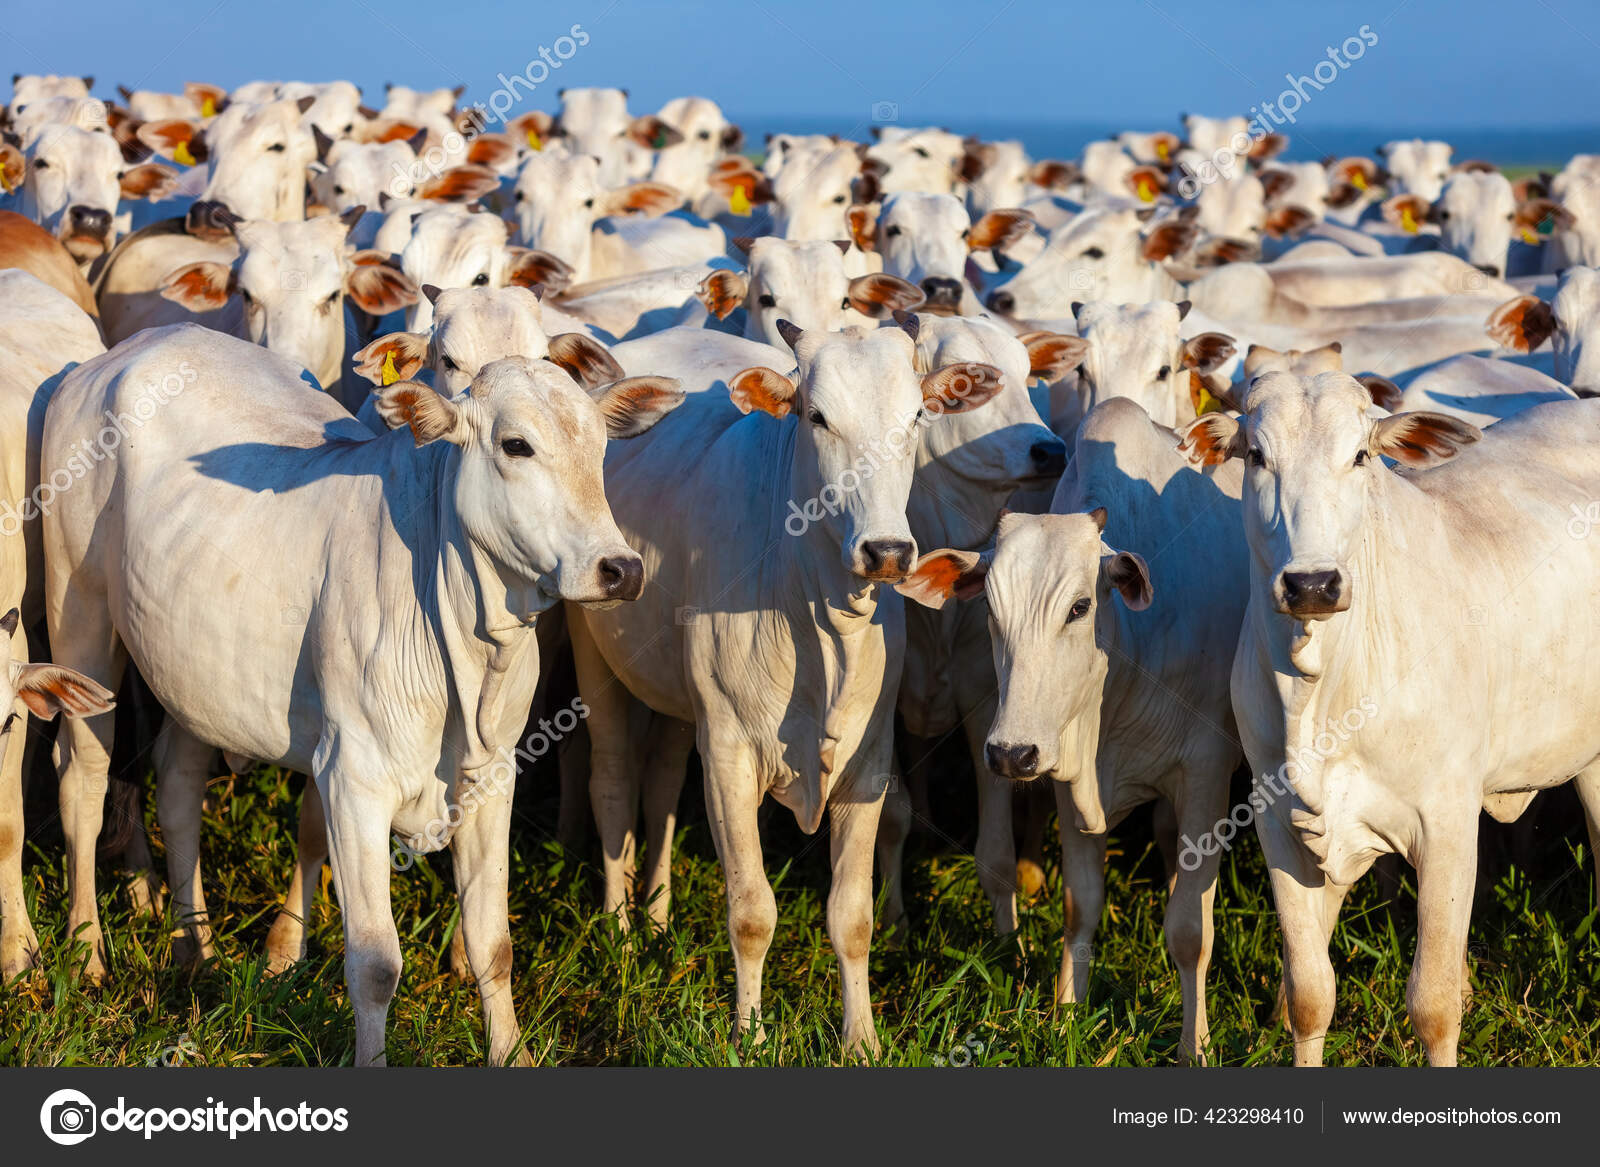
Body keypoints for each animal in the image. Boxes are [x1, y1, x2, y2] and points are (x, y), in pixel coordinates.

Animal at [42, 324, 680, 1064]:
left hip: (191, 669)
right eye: (516, 444)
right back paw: (87, 953)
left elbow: (492, 944)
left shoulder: (492, 776)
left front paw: (510, 1053)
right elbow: (376, 963)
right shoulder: (354, 777)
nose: (621, 568)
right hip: (80, 618)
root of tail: (128, 349)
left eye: (601, 448)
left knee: (177, 784)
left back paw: (195, 949)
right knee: (82, 783)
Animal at [1179, 372, 1600, 1065]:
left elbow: (1433, 1006)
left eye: (1360, 455)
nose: (1312, 584)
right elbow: (1310, 995)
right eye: (1258, 457)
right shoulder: (1276, 823)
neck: (1324, 687)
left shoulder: (1447, 822)